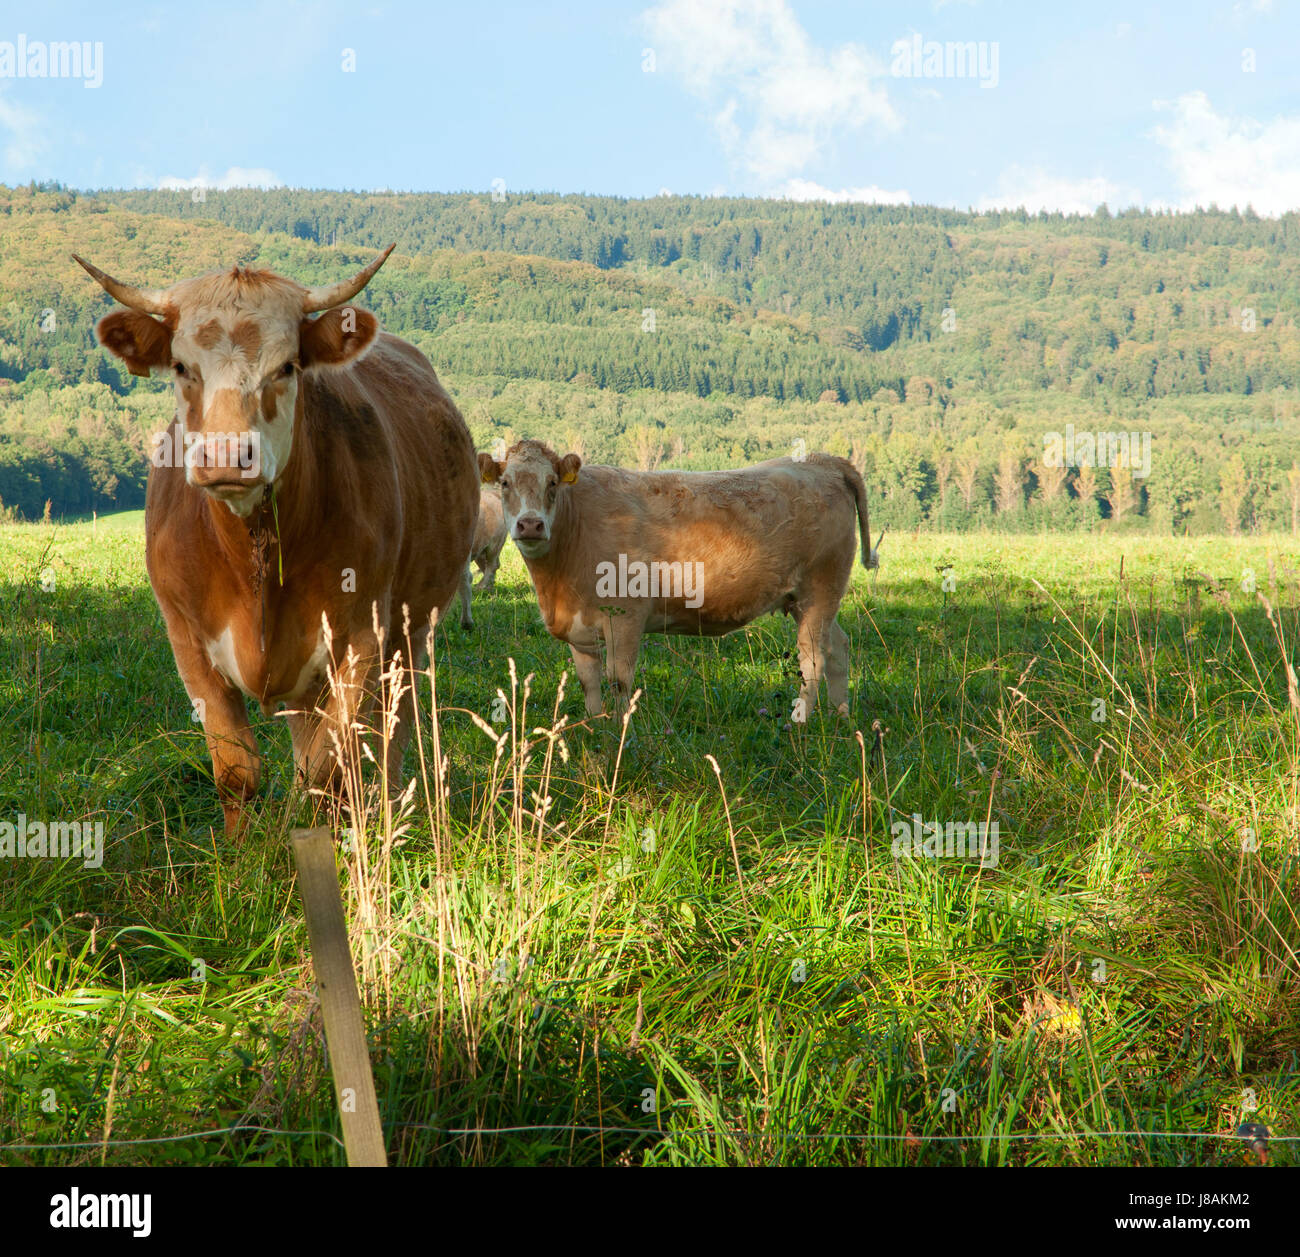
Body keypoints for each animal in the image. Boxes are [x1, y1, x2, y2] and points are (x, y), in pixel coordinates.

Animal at [74, 247, 479, 836]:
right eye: (181, 367)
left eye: (287, 367)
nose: (226, 456)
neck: (253, 554)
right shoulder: (186, 638)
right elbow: (236, 770)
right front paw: (240, 853)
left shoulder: (361, 635)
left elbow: (328, 770)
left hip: (412, 632)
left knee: (389, 732)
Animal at [477, 440, 877, 720]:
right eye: (505, 483)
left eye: (553, 483)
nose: (531, 524)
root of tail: (823, 461)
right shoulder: (580, 629)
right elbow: (588, 683)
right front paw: (594, 728)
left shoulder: (625, 617)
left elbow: (619, 681)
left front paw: (618, 735)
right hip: (803, 599)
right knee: (838, 647)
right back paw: (840, 717)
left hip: (821, 588)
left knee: (813, 660)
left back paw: (801, 722)